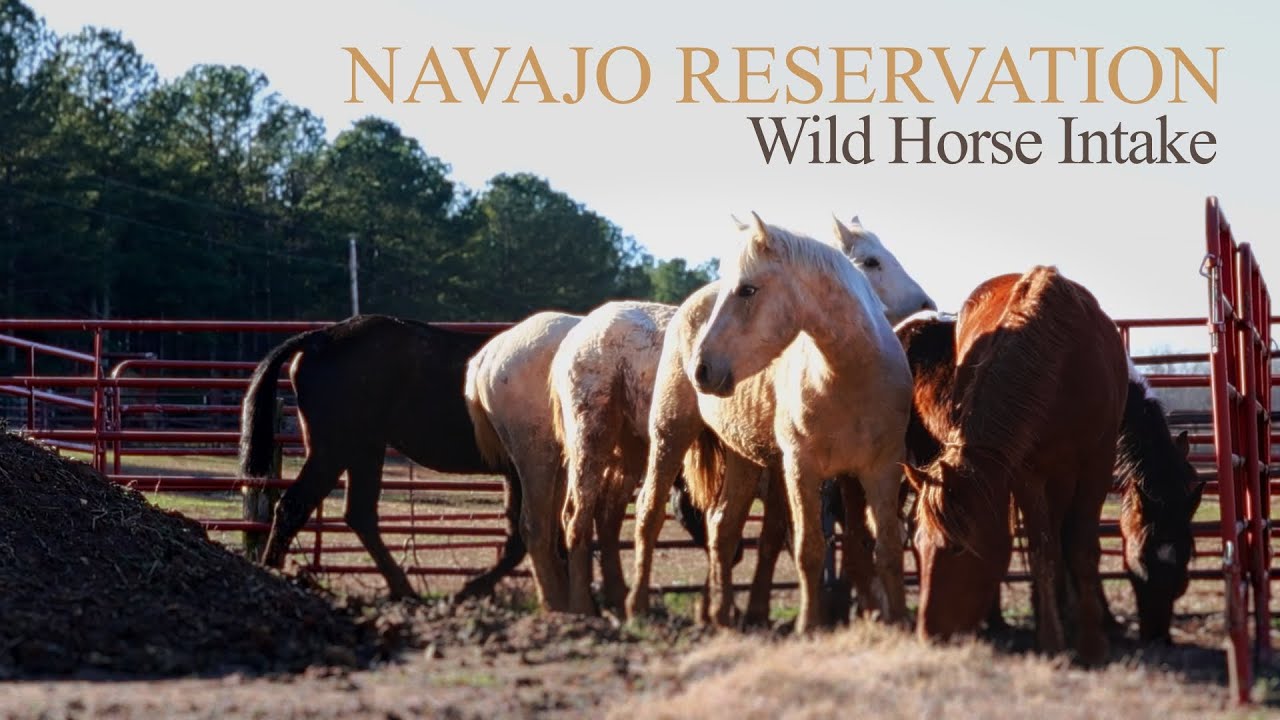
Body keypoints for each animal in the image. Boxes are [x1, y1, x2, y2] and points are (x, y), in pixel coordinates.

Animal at [239, 314, 519, 601]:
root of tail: (321, 337)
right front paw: (471, 589)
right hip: (334, 451)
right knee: (294, 507)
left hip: (364, 450)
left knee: (358, 514)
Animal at [627, 215, 933, 628]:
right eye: (872, 261)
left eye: (747, 289)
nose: (701, 369)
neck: (850, 375)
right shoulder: (802, 469)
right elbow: (809, 548)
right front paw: (809, 624)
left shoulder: (880, 471)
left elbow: (885, 547)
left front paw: (897, 620)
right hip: (670, 433)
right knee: (649, 512)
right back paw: (637, 606)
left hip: (741, 456)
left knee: (723, 526)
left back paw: (723, 614)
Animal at [905, 267, 1127, 665]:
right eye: (916, 546)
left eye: (957, 548)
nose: (928, 637)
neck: (1061, 363)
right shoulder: (1027, 473)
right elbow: (1043, 552)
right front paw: (1052, 641)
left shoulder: (1097, 463)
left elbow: (1082, 549)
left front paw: (1092, 645)